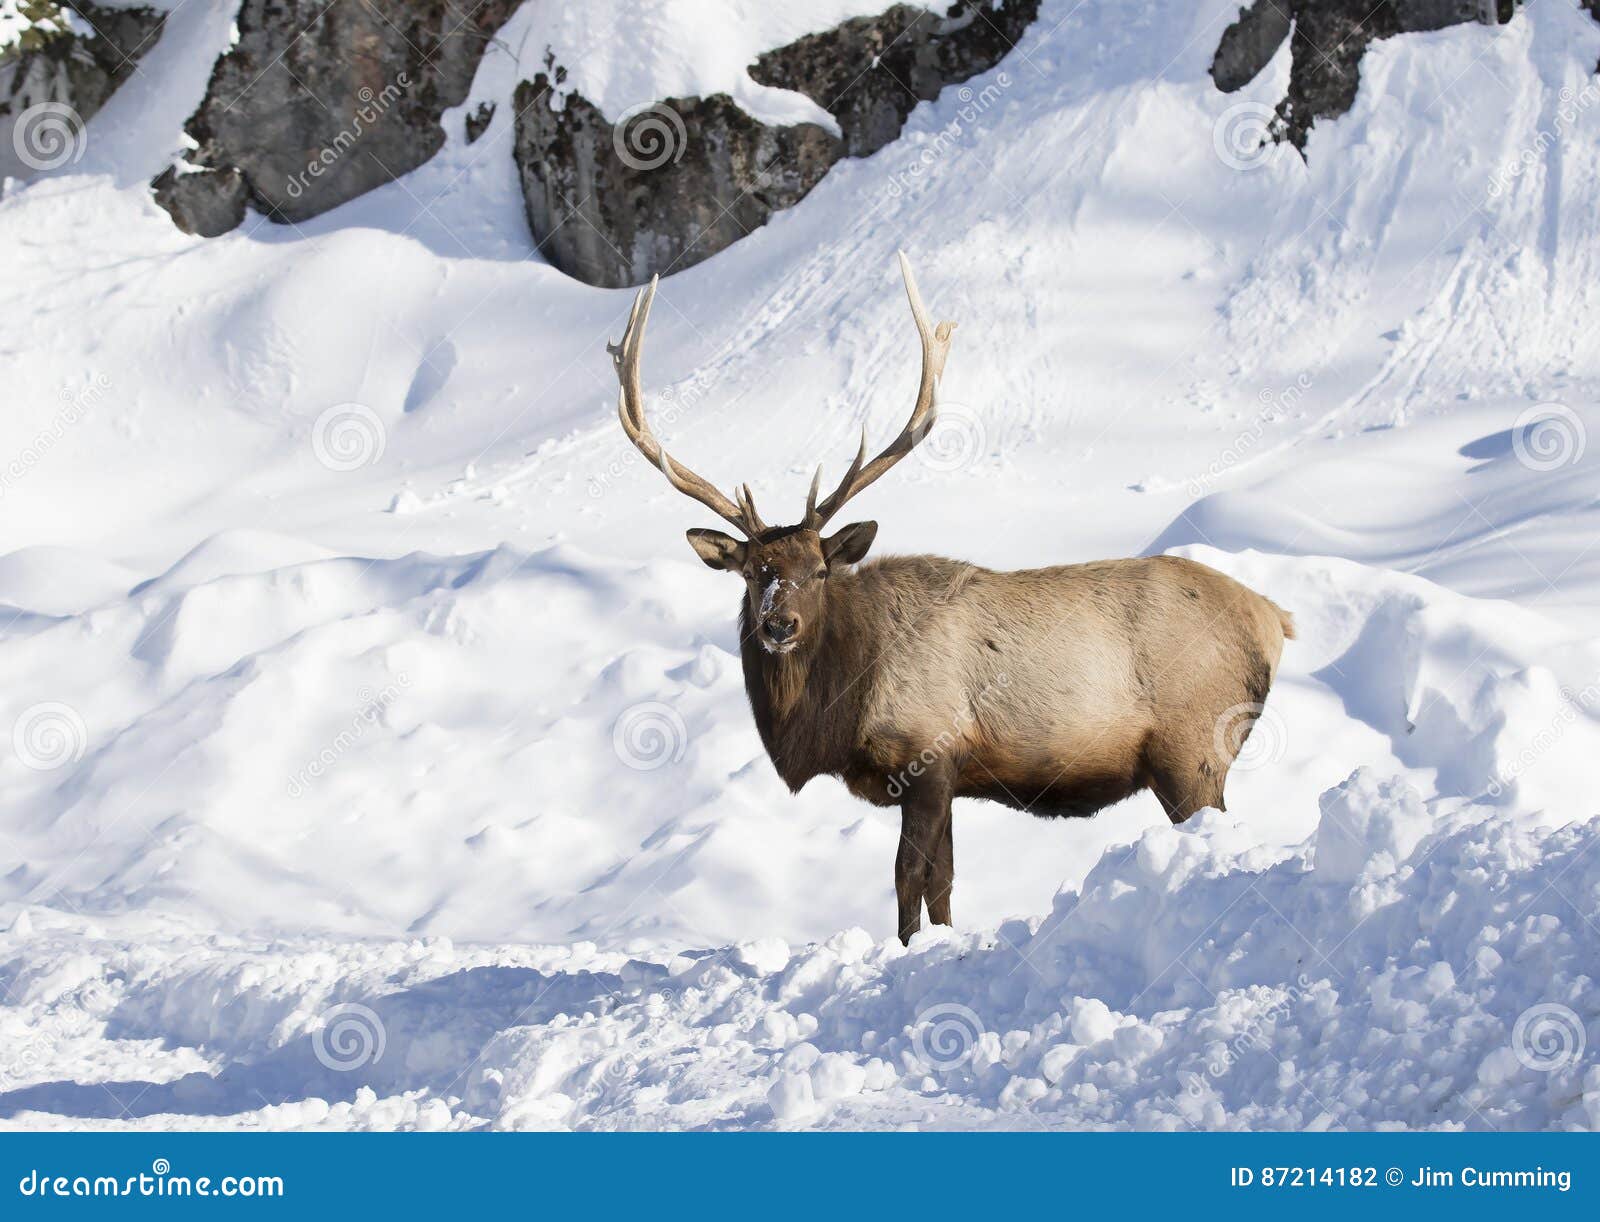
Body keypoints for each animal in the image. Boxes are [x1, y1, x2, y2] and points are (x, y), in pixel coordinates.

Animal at [609, 254, 1295, 944]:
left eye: (820, 570)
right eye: (754, 572)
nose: (780, 623)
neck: (840, 709)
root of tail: (1275, 618)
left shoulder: (929, 752)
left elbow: (908, 876)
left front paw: (909, 948)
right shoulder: (953, 777)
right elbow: (944, 882)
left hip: (1194, 746)